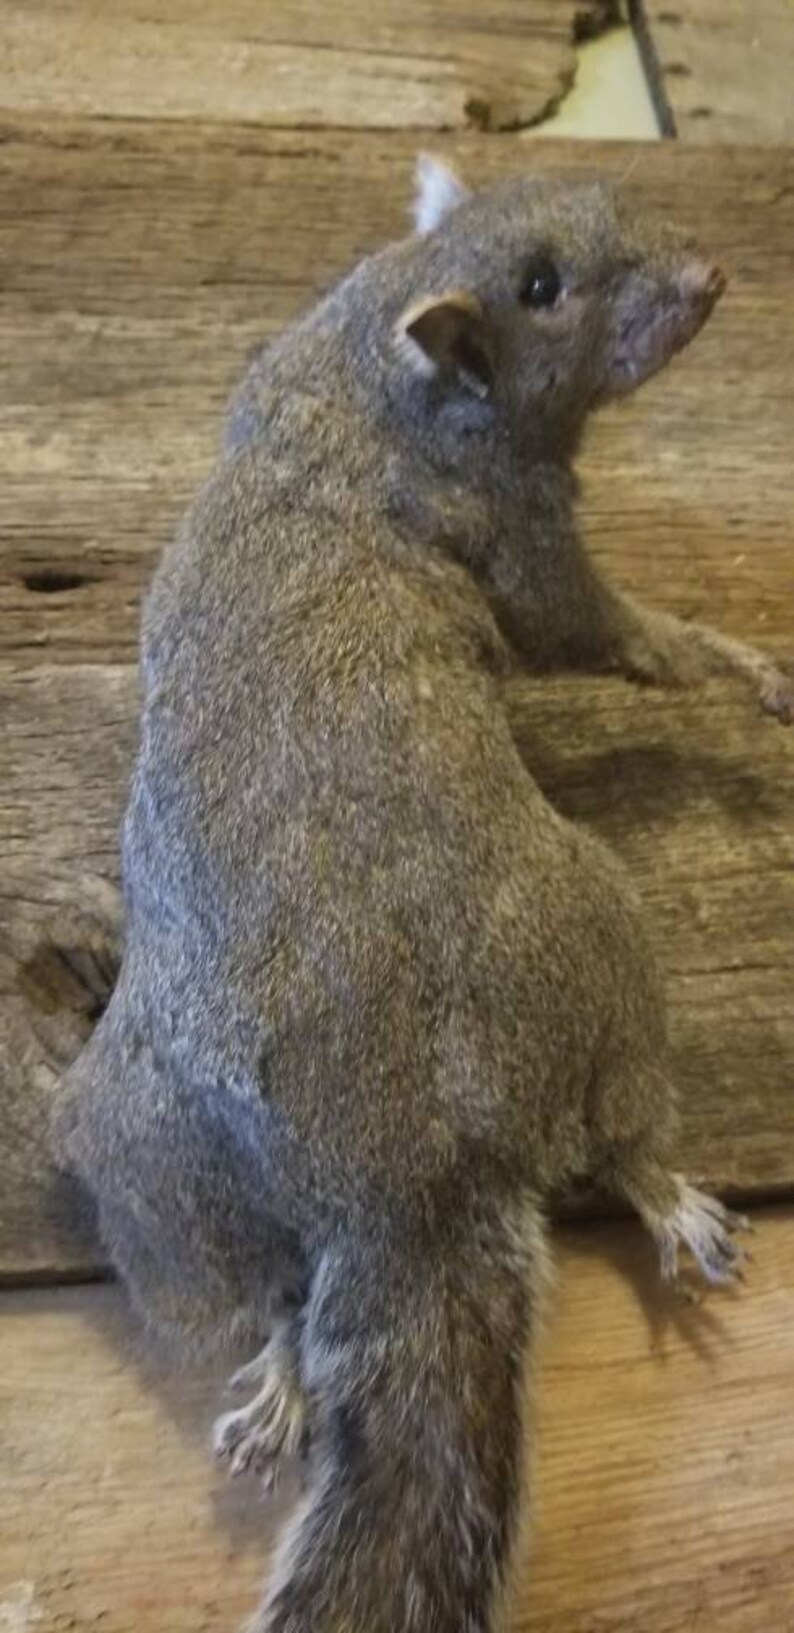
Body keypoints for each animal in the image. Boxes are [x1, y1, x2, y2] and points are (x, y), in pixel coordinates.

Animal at [50, 157, 785, 1632]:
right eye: (542, 289)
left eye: (589, 189)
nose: (712, 278)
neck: (363, 371)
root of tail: (410, 1175)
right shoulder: (513, 535)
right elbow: (608, 635)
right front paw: (732, 661)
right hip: (598, 938)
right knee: (621, 1125)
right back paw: (663, 1188)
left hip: (143, 1167)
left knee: (252, 1298)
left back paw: (280, 1375)